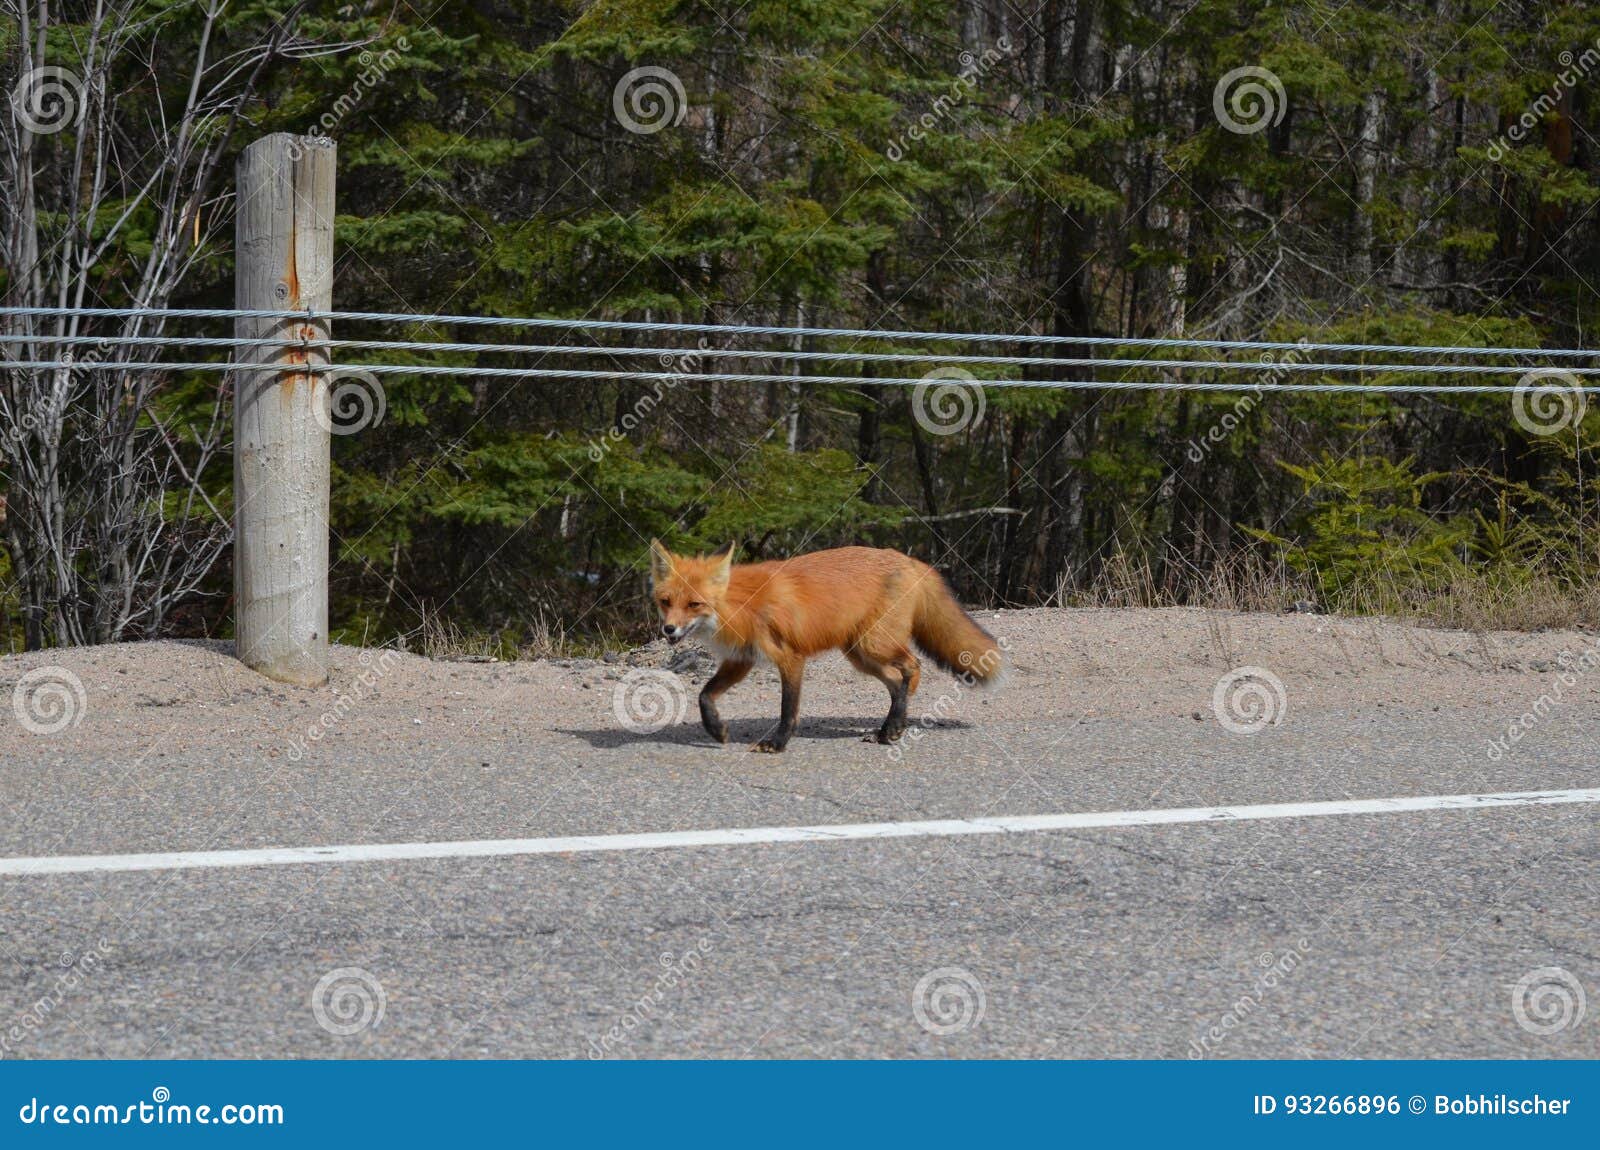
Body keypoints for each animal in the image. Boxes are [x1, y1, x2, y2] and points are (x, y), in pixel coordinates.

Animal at [648, 540, 1003, 752]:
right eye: (666, 602)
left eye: (694, 604)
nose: (669, 629)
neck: (739, 604)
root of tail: (911, 560)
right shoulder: (741, 659)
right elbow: (704, 696)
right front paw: (717, 730)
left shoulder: (790, 657)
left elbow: (788, 708)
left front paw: (778, 743)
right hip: (860, 654)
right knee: (896, 681)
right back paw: (887, 729)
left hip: (874, 645)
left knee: (912, 668)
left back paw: (894, 727)